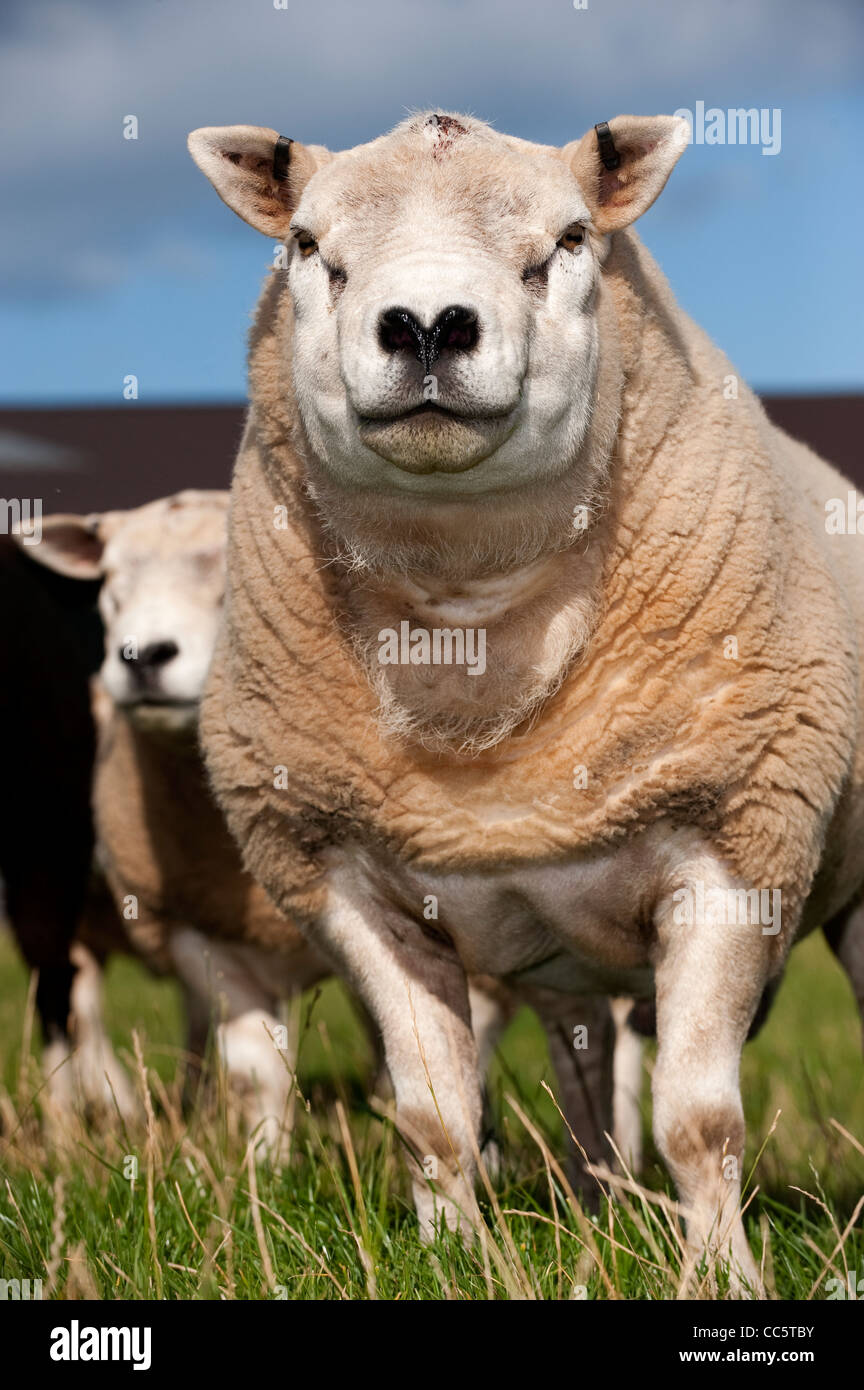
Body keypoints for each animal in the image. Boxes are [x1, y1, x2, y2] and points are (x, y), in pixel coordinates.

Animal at [187, 109, 864, 1291]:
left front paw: (722, 1275)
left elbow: (701, 1120)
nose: (426, 325)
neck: (471, 639)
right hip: (560, 940)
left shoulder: (738, 836)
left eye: (571, 238)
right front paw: (452, 1255)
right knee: (582, 1062)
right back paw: (601, 1203)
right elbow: (431, 1116)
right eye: (309, 245)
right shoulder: (336, 872)